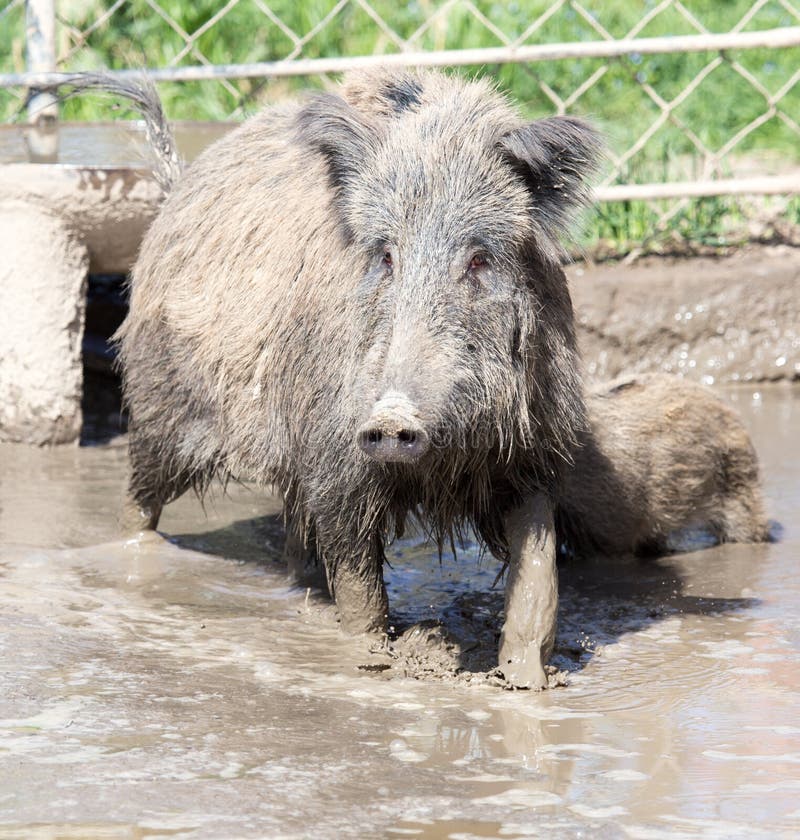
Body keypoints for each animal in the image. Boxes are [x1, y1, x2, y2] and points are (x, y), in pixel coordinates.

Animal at [101, 67, 601, 688]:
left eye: (479, 259)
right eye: (386, 255)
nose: (392, 416)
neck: (441, 464)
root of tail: (177, 188)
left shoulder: (536, 444)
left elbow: (538, 567)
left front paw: (526, 682)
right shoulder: (336, 453)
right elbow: (359, 582)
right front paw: (376, 657)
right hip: (159, 403)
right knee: (139, 495)